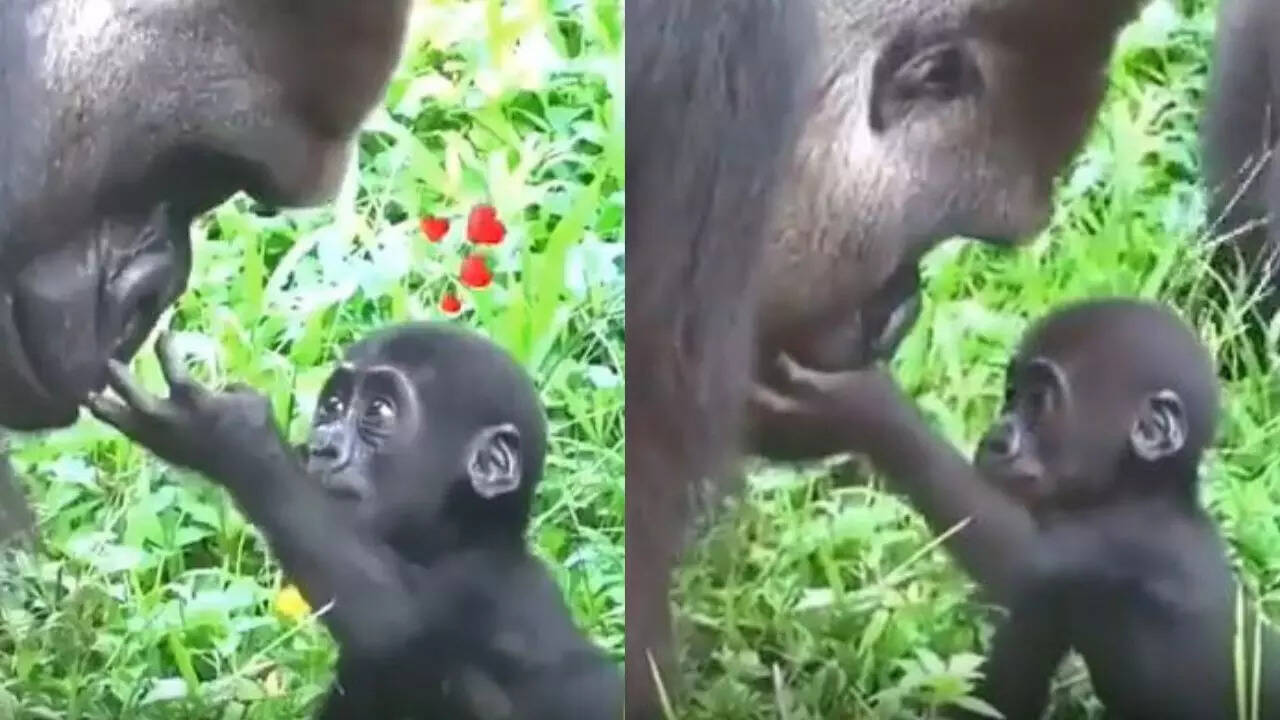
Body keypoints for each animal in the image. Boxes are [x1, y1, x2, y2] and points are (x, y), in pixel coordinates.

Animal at [85, 324, 622, 720]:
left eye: (378, 410)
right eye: (333, 407)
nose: (322, 446)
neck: (458, 538)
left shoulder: (481, 589)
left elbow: (393, 620)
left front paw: (225, 431)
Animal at [751, 298, 1280, 720]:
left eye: (1039, 400)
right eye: (1011, 397)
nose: (997, 436)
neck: (1141, 490)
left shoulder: (1122, 540)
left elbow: (1024, 561)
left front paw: (862, 404)